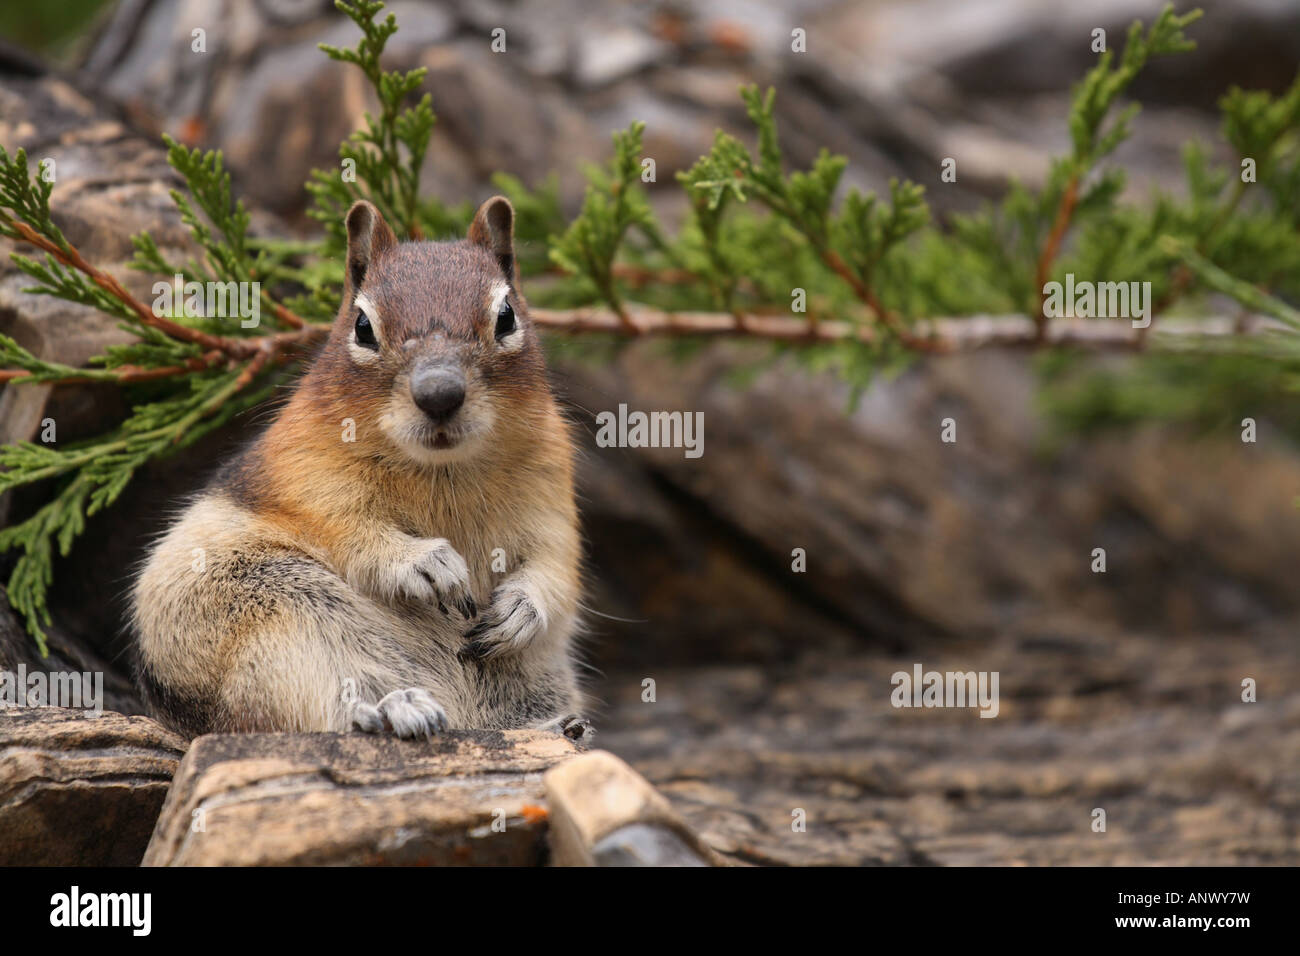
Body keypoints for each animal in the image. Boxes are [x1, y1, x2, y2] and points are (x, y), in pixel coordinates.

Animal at [129, 196, 591, 742]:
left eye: (506, 316)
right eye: (363, 327)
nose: (439, 393)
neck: (442, 468)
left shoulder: (552, 490)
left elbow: (555, 567)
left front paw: (521, 609)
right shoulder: (308, 479)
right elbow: (352, 533)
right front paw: (425, 563)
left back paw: (559, 727)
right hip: (278, 613)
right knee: (319, 705)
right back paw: (391, 709)